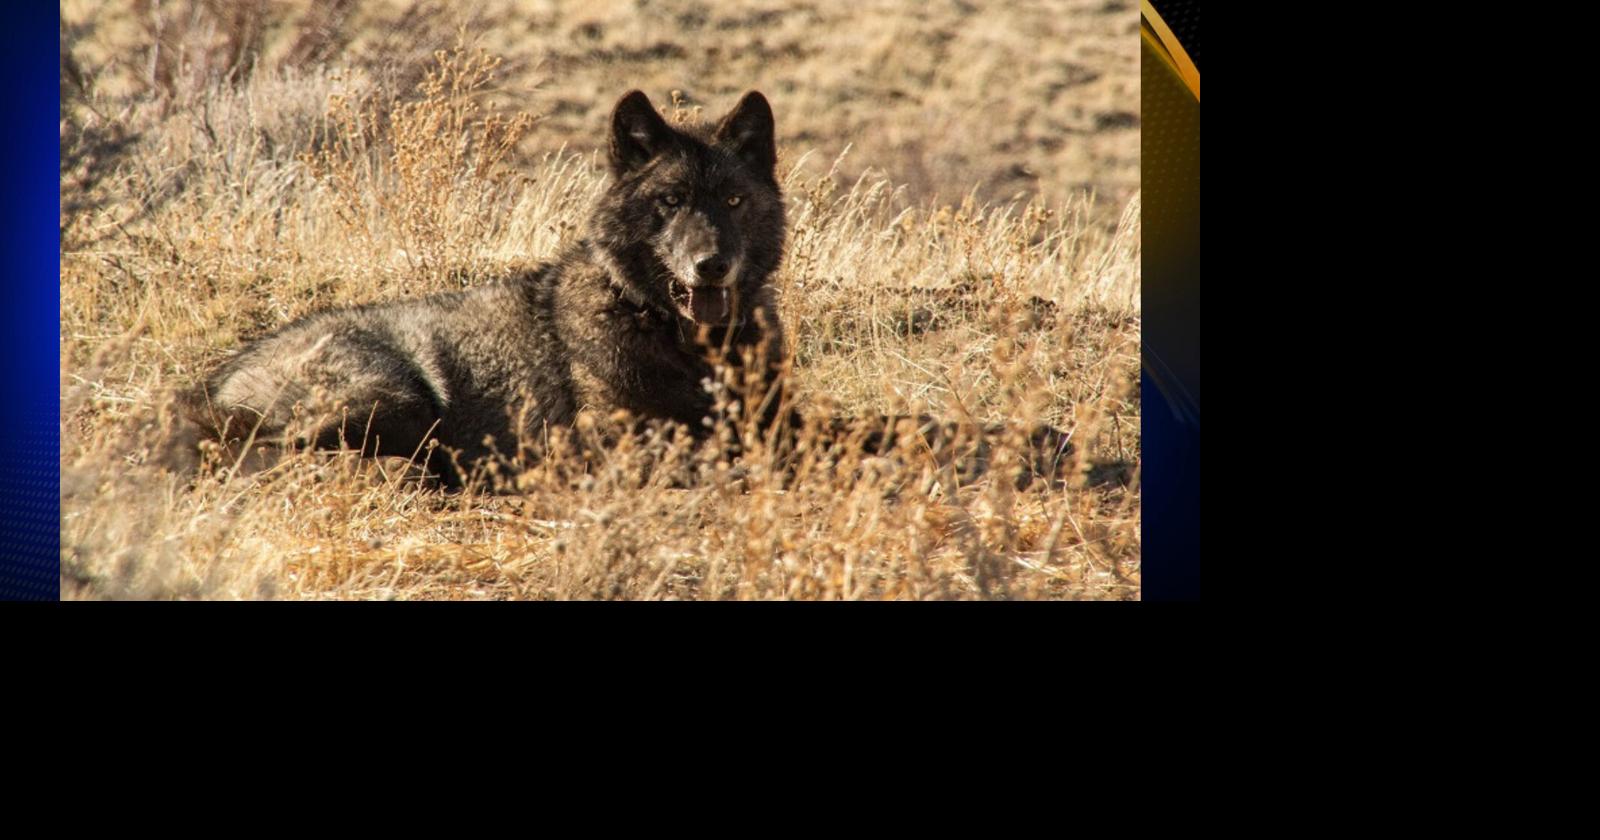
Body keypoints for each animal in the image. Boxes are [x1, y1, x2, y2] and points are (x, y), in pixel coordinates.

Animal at [186, 89, 790, 486]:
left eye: (733, 200)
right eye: (670, 201)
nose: (712, 265)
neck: (687, 344)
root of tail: (216, 380)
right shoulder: (620, 444)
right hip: (394, 397)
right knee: (265, 455)